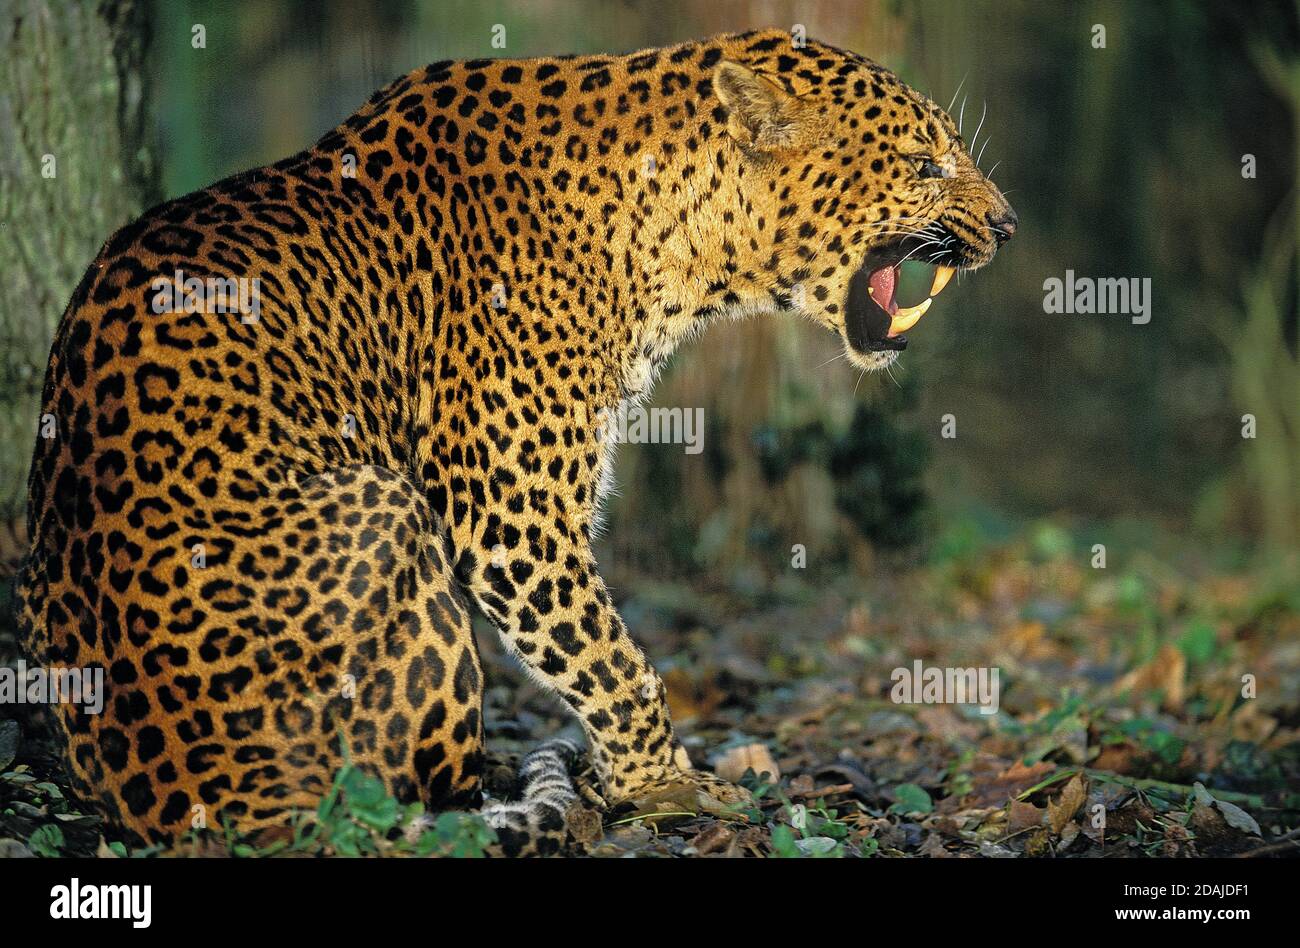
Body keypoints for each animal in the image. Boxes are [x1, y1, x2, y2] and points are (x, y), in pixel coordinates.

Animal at [14, 27, 1015, 856]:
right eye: (924, 162)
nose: (1007, 226)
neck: (674, 241)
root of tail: (195, 792)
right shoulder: (513, 514)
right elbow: (612, 658)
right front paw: (666, 785)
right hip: (387, 509)